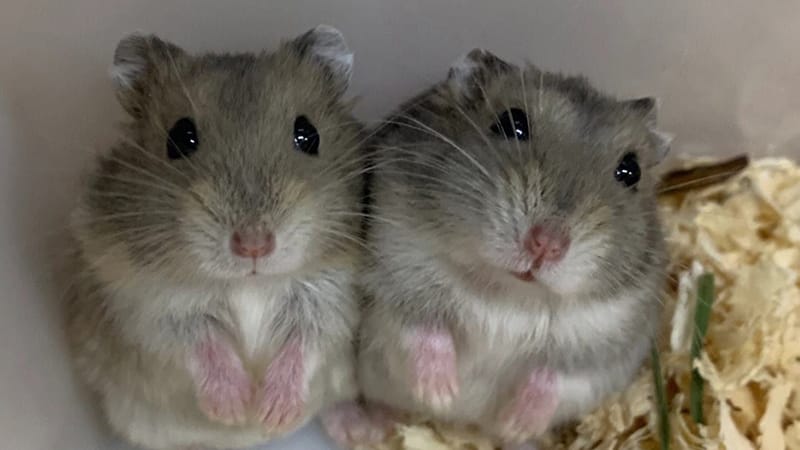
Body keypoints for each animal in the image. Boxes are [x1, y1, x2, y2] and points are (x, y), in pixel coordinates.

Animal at [65, 26, 380, 450]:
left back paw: (366, 431)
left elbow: (306, 343)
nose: (254, 245)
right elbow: (201, 345)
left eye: (308, 134)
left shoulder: (332, 295)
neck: (249, 284)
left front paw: (271, 414)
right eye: (180, 137)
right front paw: (236, 410)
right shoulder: (147, 302)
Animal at [358, 49, 672, 447]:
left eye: (631, 171)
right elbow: (422, 333)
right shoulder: (395, 277)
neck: (507, 293)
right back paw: (364, 429)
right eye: (511, 123)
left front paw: (516, 423)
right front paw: (442, 395)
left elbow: (556, 376)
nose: (546, 244)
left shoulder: (603, 343)